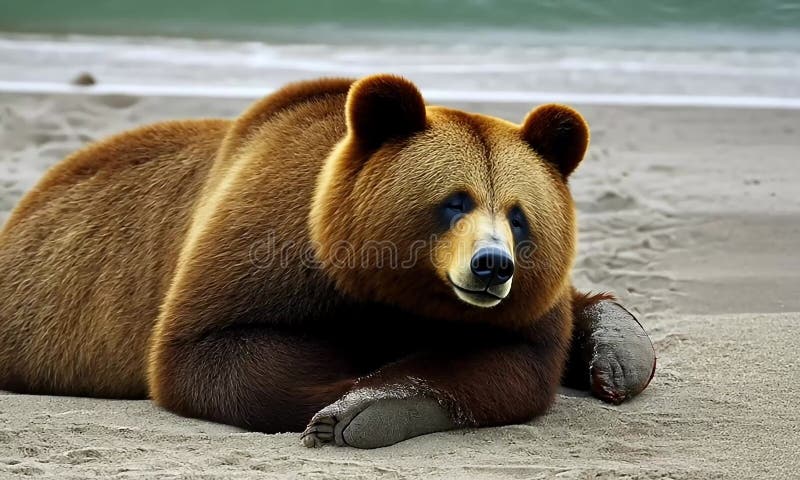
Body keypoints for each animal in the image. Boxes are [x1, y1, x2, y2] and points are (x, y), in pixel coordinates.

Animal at [0, 74, 655, 448]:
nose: (492, 265)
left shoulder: (523, 310)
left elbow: (510, 364)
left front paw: (368, 408)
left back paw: (619, 352)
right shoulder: (263, 247)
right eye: (455, 201)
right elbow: (210, 352)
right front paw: (341, 399)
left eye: (519, 215)